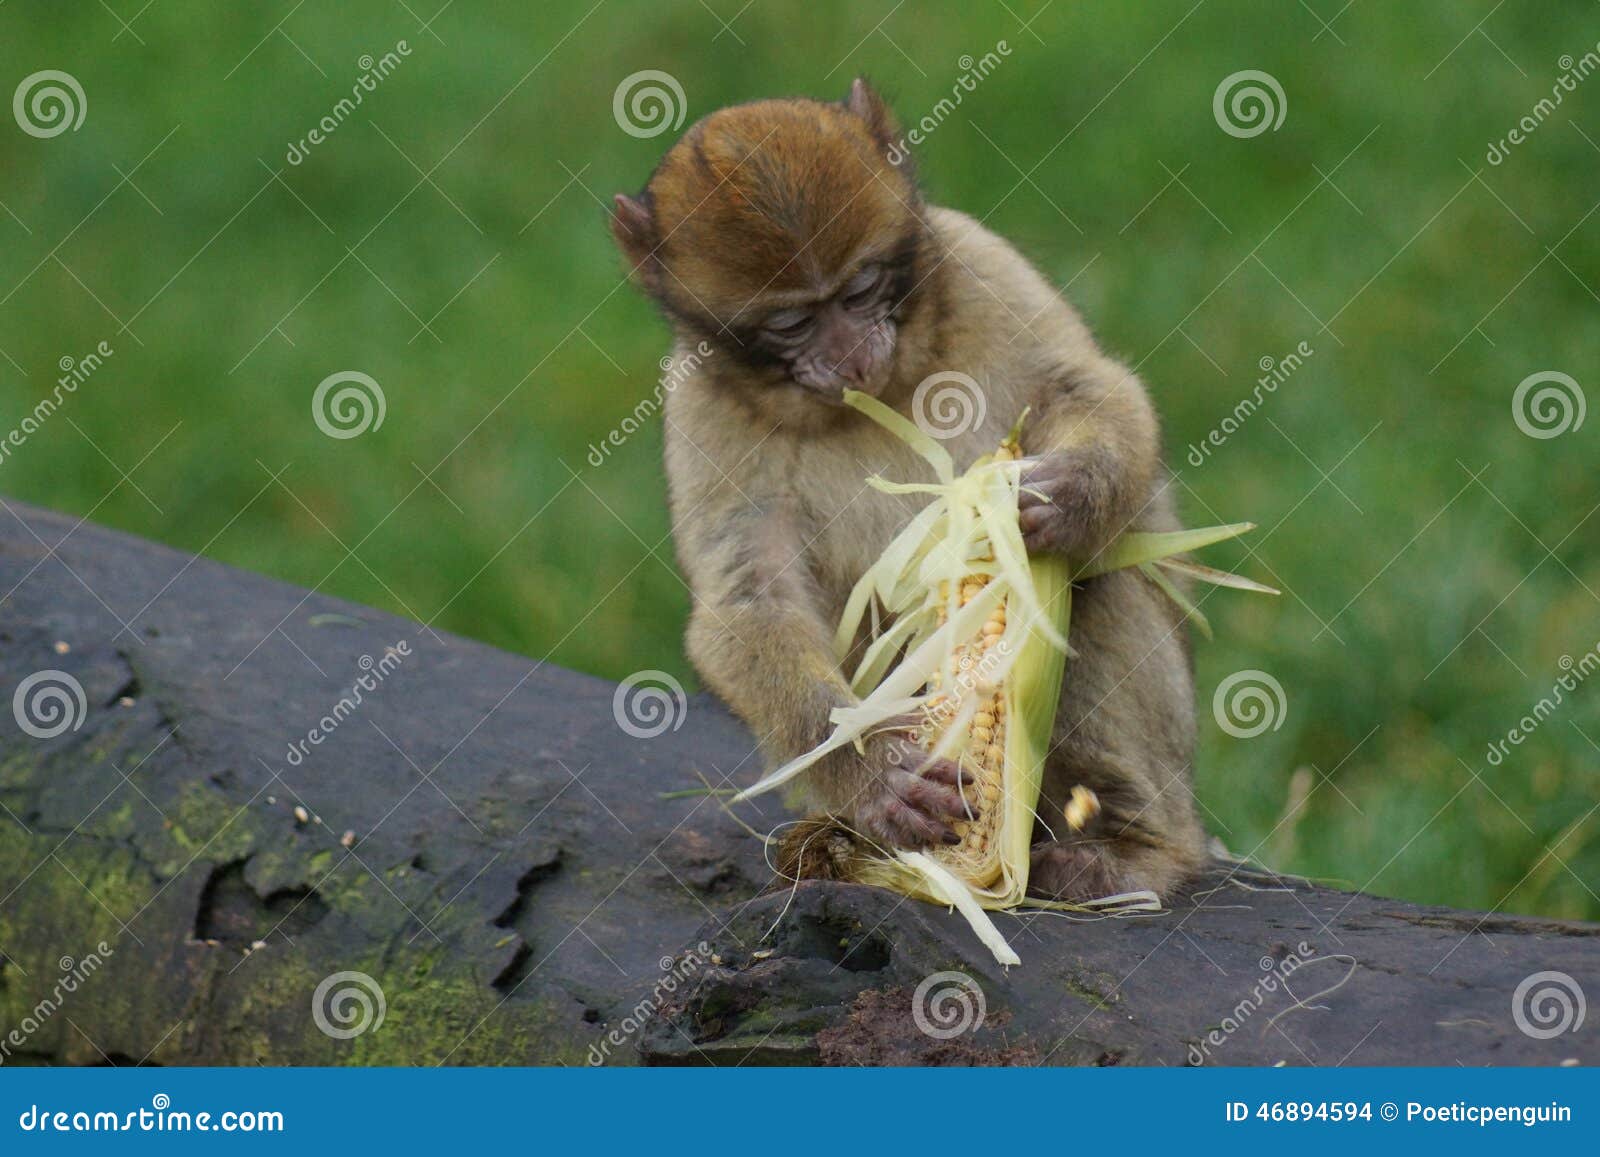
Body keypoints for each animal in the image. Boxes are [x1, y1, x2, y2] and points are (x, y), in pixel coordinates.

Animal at [609, 79, 1208, 903]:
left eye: (861, 289)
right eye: (791, 323)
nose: (852, 356)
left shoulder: (979, 261)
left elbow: (1092, 387)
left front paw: (1071, 495)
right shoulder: (700, 400)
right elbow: (751, 599)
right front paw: (875, 772)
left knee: (1100, 591)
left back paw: (1137, 847)